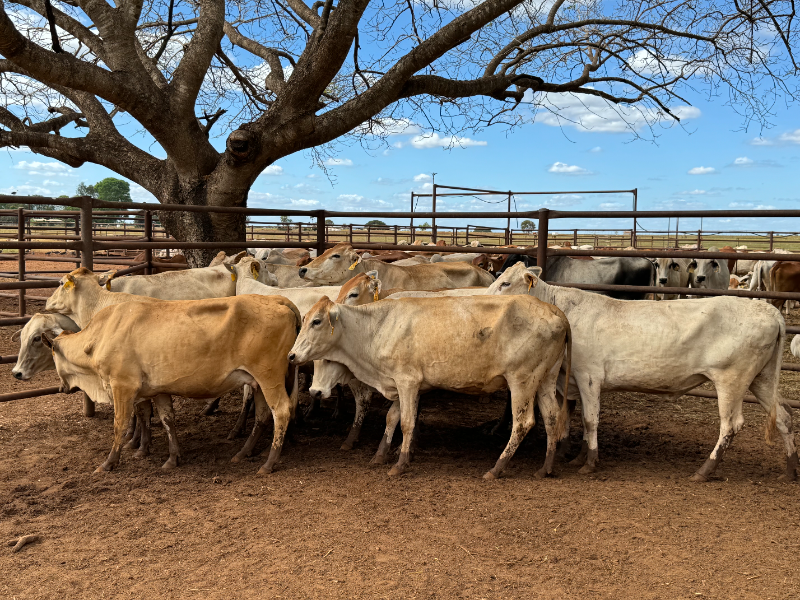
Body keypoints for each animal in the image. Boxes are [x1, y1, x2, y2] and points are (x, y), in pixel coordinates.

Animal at [44, 294, 300, 474]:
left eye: (53, 356)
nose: (61, 388)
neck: (102, 334)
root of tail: (277, 299)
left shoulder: (122, 386)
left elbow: (120, 425)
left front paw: (108, 463)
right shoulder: (158, 391)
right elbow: (167, 420)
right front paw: (172, 458)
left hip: (269, 376)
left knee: (281, 410)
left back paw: (269, 463)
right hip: (258, 382)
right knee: (263, 415)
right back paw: (243, 452)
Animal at [289, 295, 571, 480]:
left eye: (316, 321)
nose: (291, 355)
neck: (377, 327)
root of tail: (556, 312)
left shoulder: (407, 381)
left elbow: (406, 423)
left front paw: (400, 464)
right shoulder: (400, 383)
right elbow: (392, 417)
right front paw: (380, 455)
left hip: (522, 380)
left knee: (523, 423)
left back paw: (496, 468)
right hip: (545, 378)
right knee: (551, 418)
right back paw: (545, 468)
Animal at [486, 262, 797, 481]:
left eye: (505, 283)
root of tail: (769, 311)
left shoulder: (589, 376)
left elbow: (590, 419)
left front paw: (589, 463)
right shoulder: (573, 380)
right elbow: (579, 419)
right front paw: (577, 456)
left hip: (731, 380)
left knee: (730, 425)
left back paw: (704, 470)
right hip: (761, 379)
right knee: (783, 416)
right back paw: (790, 470)